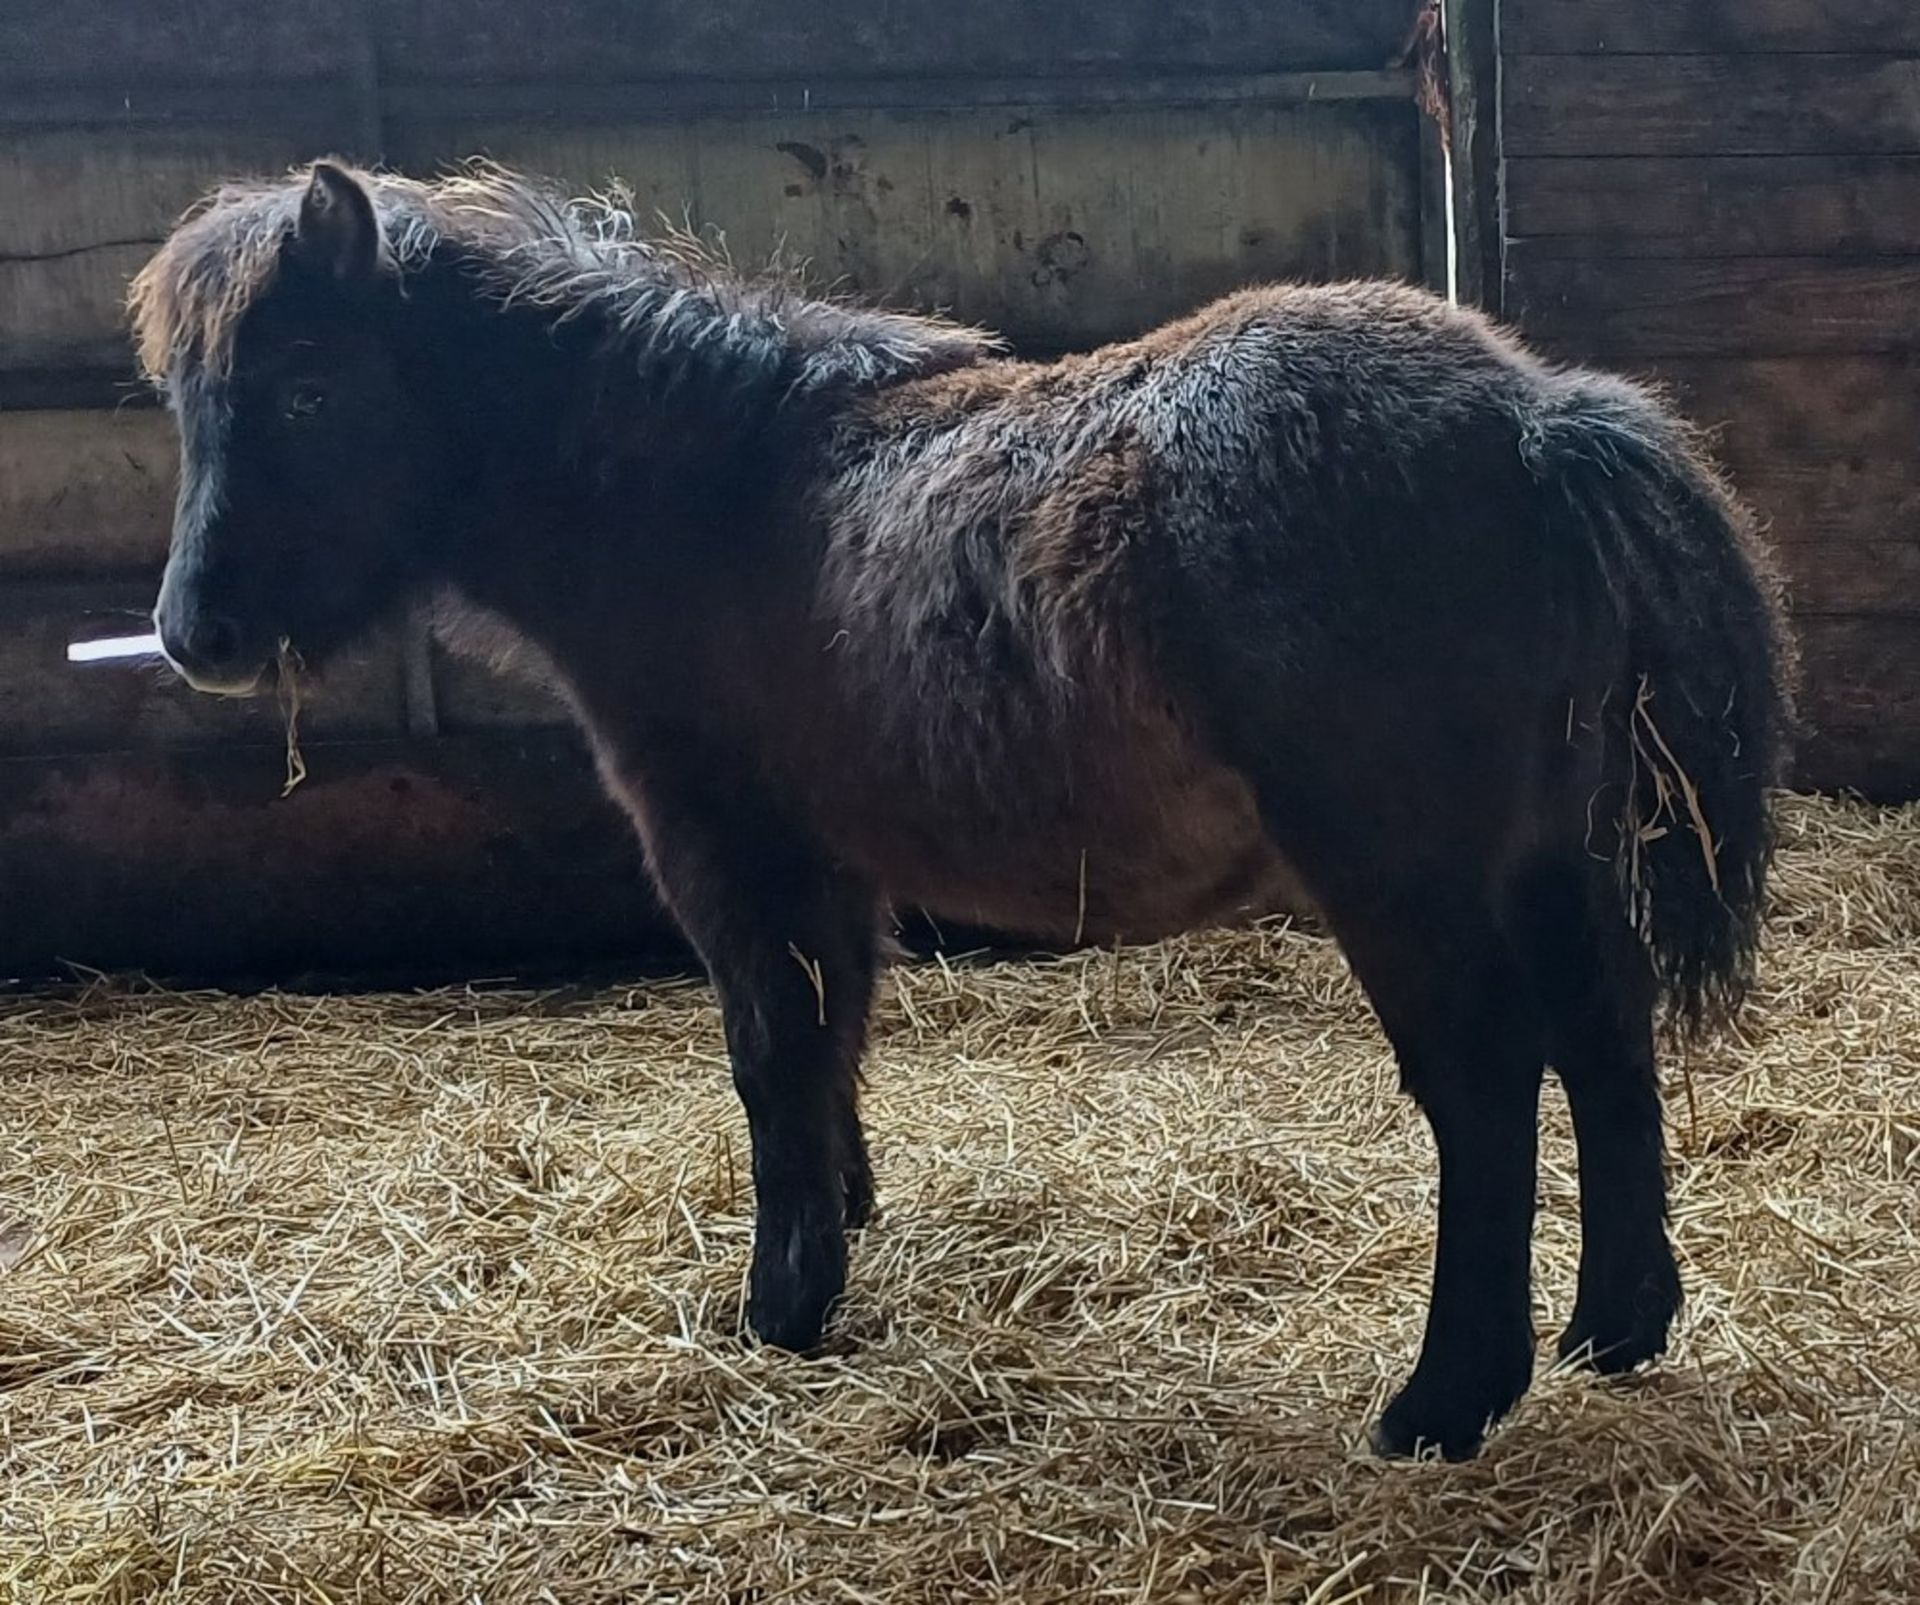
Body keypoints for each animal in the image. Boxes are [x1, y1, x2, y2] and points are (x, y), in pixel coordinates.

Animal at [131, 160, 1792, 1461]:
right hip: (1547, 851)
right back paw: (1615, 1329)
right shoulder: (831, 857)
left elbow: (772, 1055)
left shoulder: (730, 846)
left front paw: (782, 1301)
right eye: (190, 403)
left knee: (1488, 1077)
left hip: (1408, 876)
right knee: (1606, 1034)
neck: (712, 495)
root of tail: (1533, 418)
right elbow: (834, 1044)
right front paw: (847, 1227)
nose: (194, 634)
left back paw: (1445, 1401)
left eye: (305, 387)